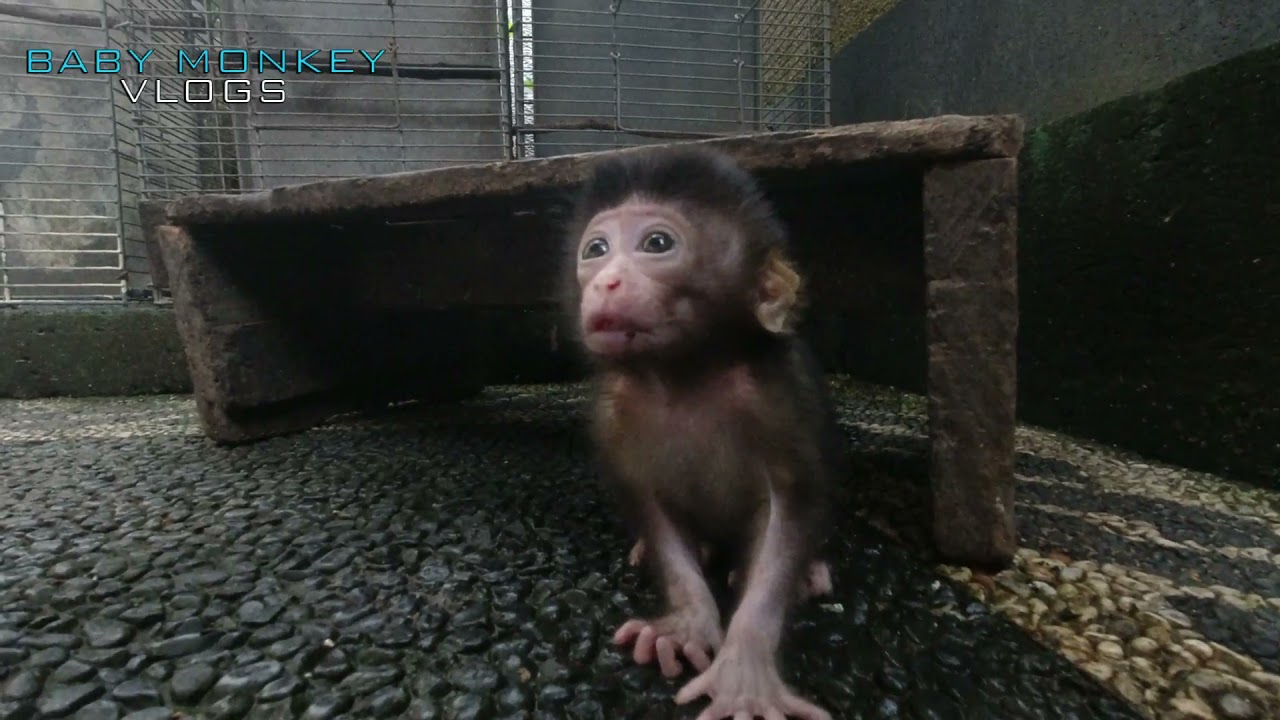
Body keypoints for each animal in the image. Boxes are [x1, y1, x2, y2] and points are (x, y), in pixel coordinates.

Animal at [562, 145, 845, 720]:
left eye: (657, 244)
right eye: (596, 250)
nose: (605, 282)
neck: (684, 374)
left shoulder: (778, 393)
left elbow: (789, 509)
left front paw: (746, 666)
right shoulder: (612, 411)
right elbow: (652, 509)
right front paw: (685, 622)